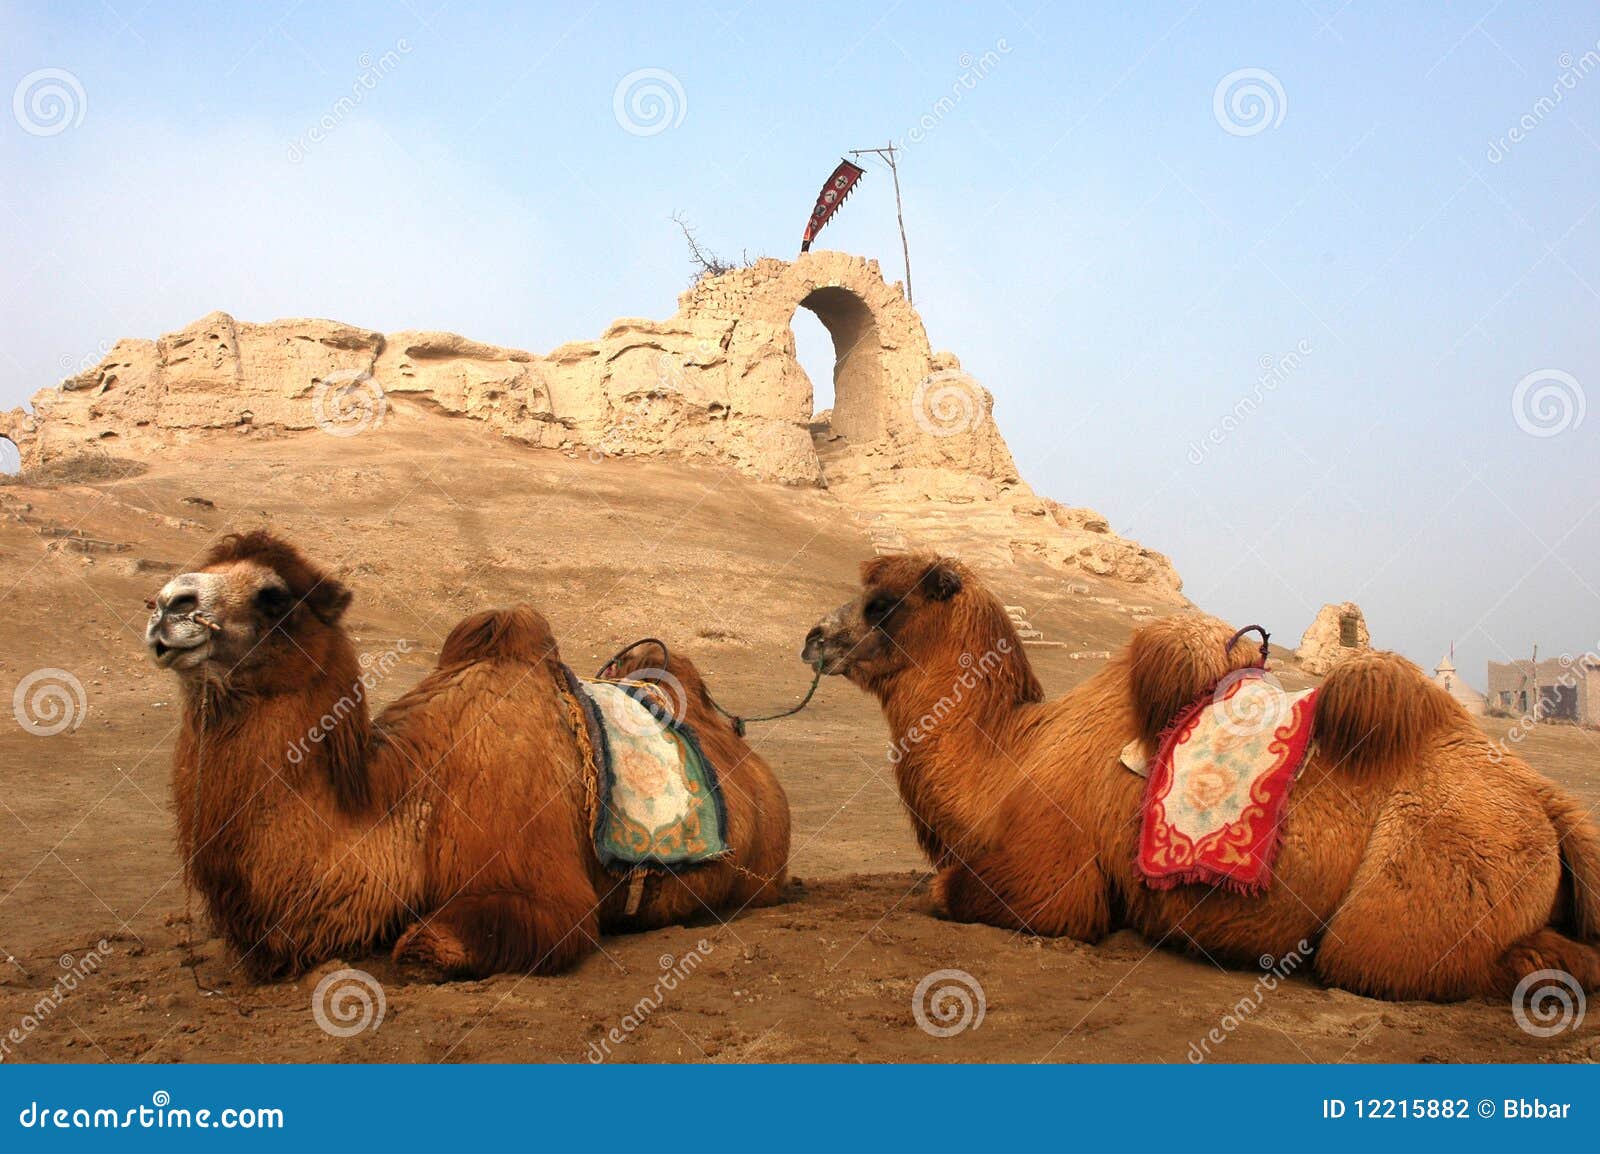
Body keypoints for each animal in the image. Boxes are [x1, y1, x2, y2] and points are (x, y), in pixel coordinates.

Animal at [803, 553, 1600, 1001]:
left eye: (883, 603)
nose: (814, 639)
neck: (1010, 756)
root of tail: (1545, 801)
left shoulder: (1050, 888)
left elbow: (946, 893)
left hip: (1414, 891)